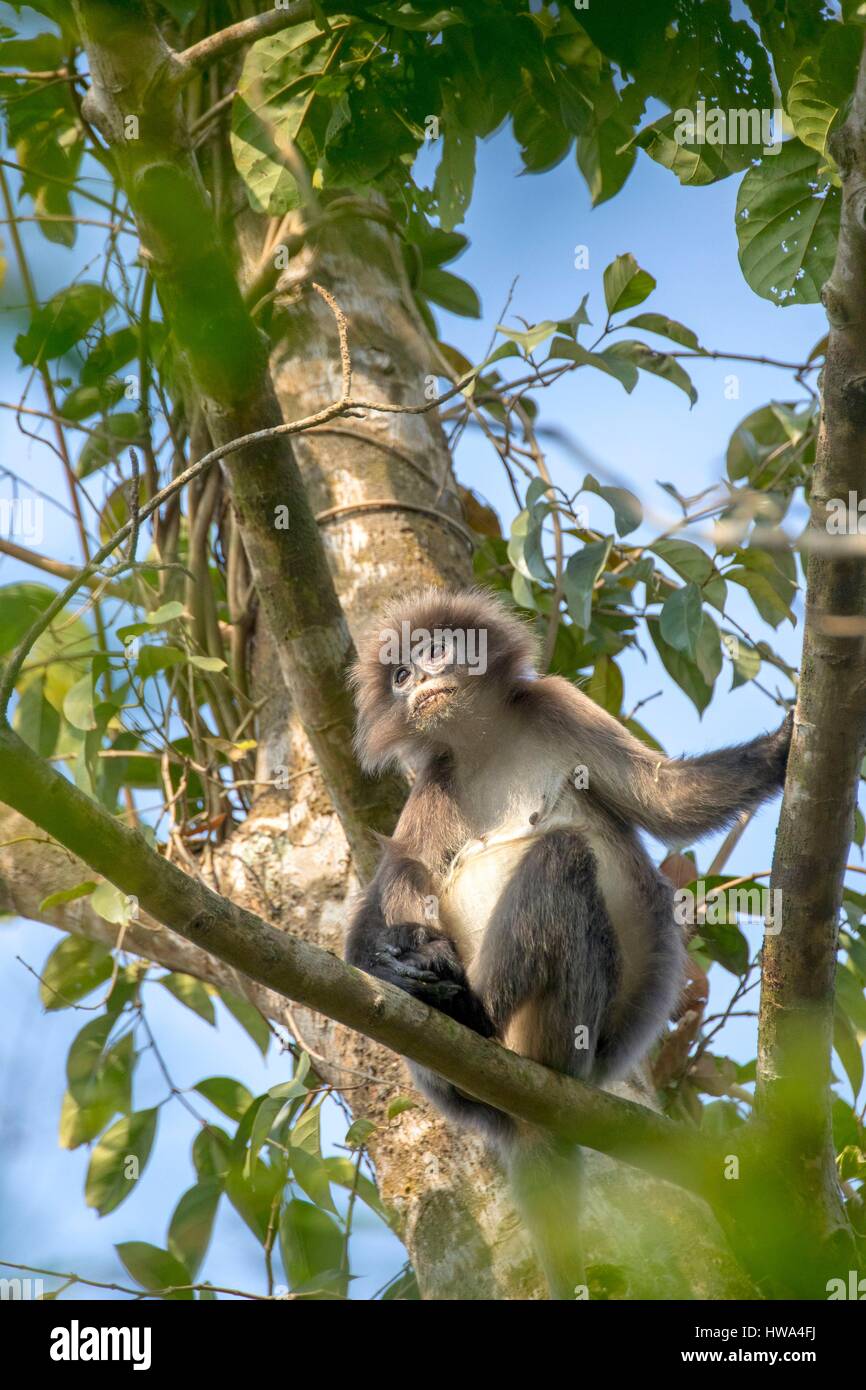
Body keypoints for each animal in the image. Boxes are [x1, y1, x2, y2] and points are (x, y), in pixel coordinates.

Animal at [345, 586, 792, 1296]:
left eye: (432, 654)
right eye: (399, 677)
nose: (415, 684)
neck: (489, 740)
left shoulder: (555, 704)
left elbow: (665, 798)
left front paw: (782, 746)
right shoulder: (437, 777)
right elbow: (397, 880)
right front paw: (389, 962)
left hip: (562, 1030)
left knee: (561, 853)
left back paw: (469, 1009)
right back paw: (437, 991)